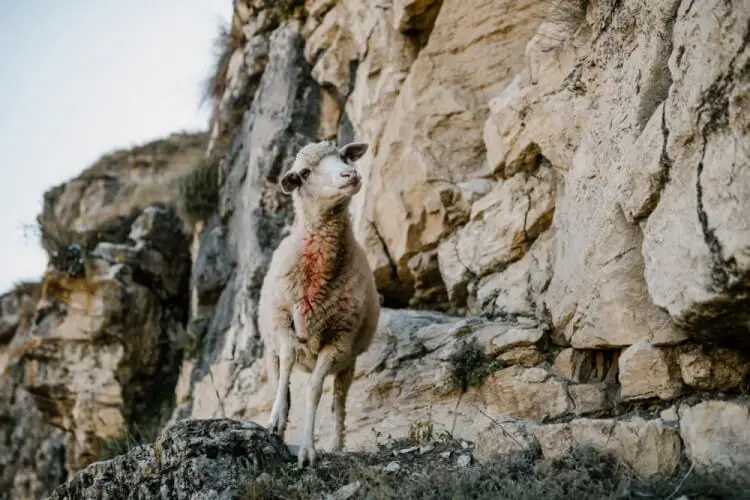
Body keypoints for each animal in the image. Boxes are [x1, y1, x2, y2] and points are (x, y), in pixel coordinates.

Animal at [257, 140, 381, 467]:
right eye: (304, 173)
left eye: (343, 156)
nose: (351, 174)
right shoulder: (282, 318)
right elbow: (288, 359)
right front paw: (275, 420)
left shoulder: (339, 340)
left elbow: (314, 391)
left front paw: (308, 452)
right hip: (269, 348)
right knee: (279, 378)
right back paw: (279, 420)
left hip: (349, 362)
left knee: (338, 402)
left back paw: (336, 444)